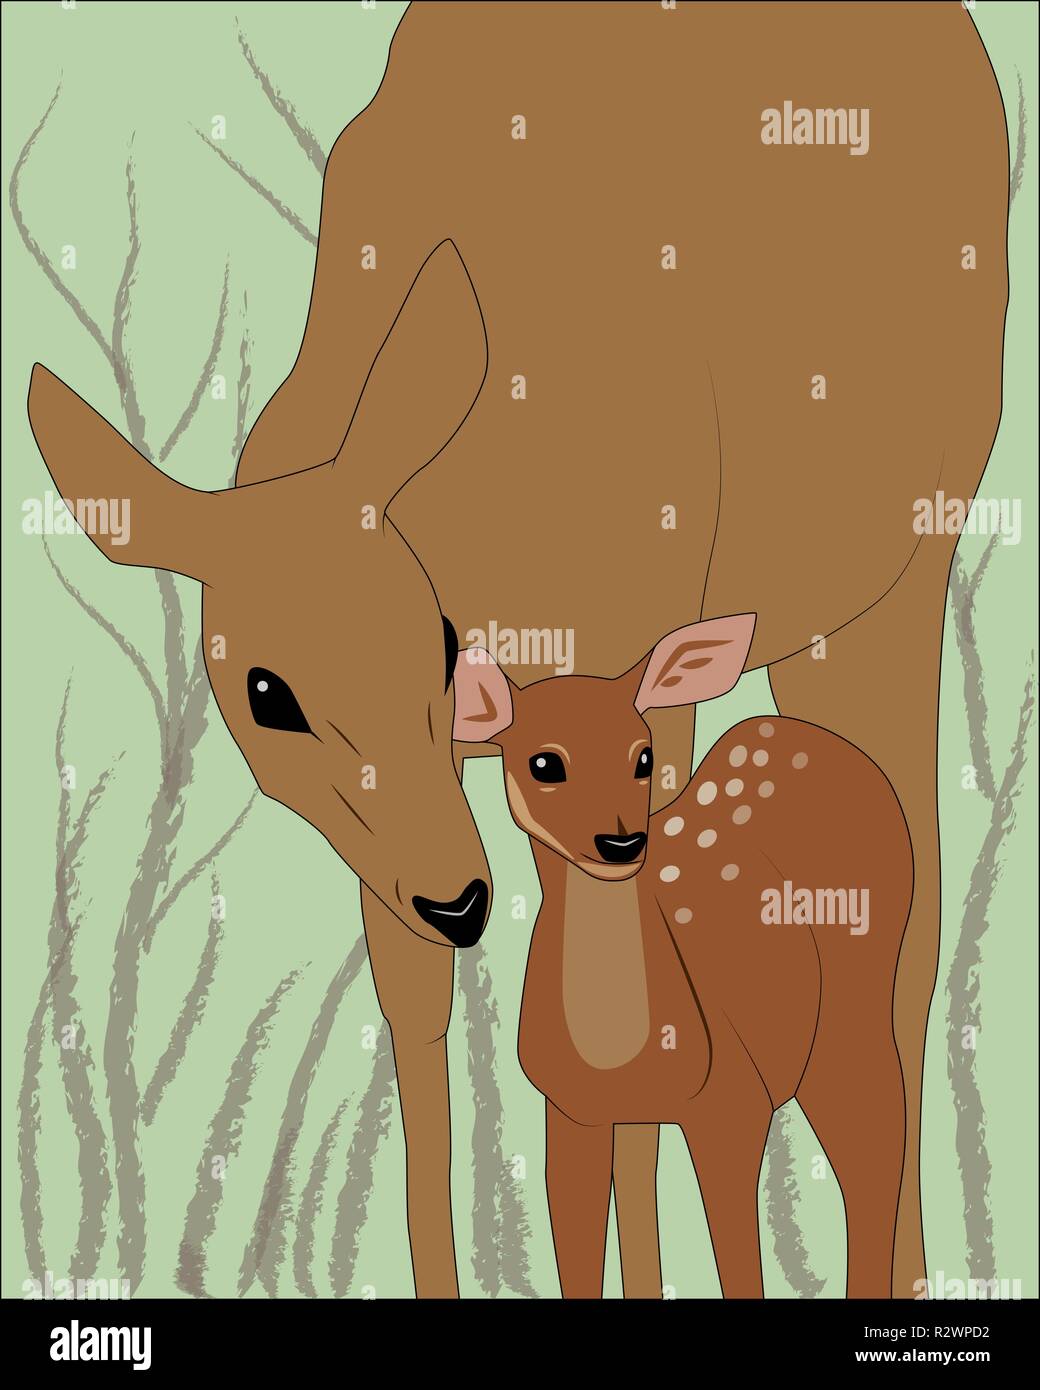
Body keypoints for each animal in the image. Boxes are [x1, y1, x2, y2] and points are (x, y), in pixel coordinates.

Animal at [452, 618, 913, 1298]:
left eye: (644, 756)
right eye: (544, 762)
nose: (621, 843)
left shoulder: (735, 1100)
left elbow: (740, 1265)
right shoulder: (569, 1111)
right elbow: (577, 1251)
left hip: (860, 987)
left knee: (877, 1142)